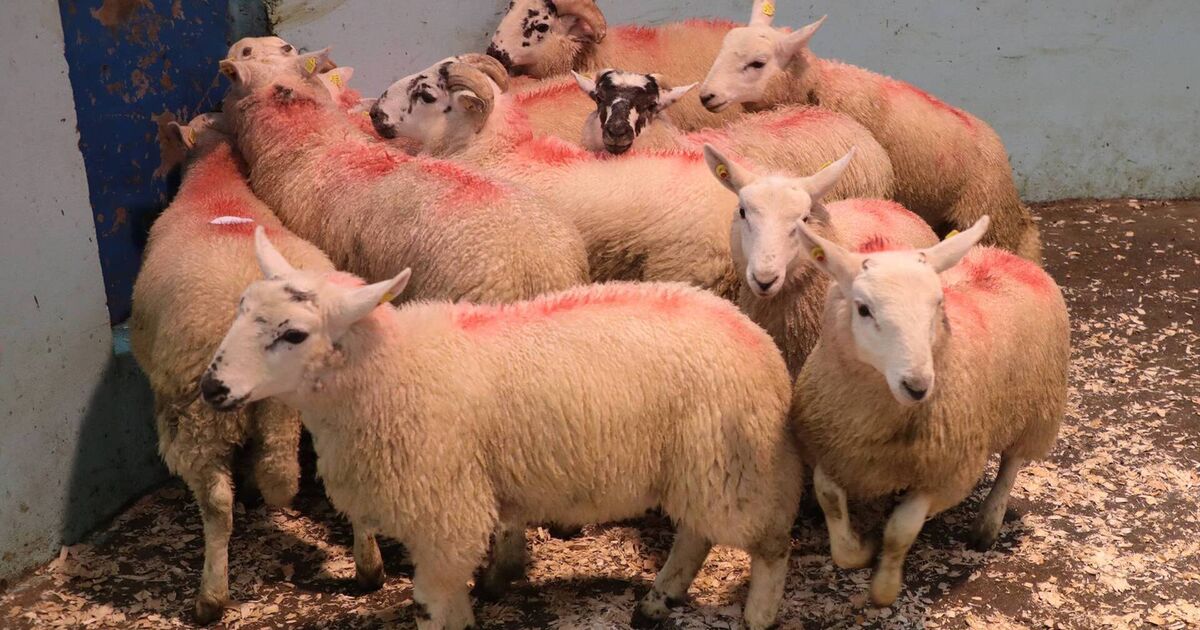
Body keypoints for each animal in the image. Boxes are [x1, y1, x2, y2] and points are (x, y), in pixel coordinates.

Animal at [198, 228, 803, 630]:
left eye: (294, 334)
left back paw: (757, 615)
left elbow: (433, 603)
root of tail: (757, 339)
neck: (390, 372)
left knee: (770, 545)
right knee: (696, 534)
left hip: (734, 462)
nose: (211, 388)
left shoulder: (444, 512)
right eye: (241, 307)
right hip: (704, 465)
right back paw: (658, 600)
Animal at [788, 215, 1069, 606]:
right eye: (863, 309)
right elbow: (830, 504)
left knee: (1011, 465)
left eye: (938, 303)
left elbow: (900, 530)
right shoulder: (832, 452)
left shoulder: (946, 474)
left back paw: (987, 526)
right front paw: (860, 549)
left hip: (1035, 412)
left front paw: (884, 588)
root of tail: (1002, 254)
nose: (918, 386)